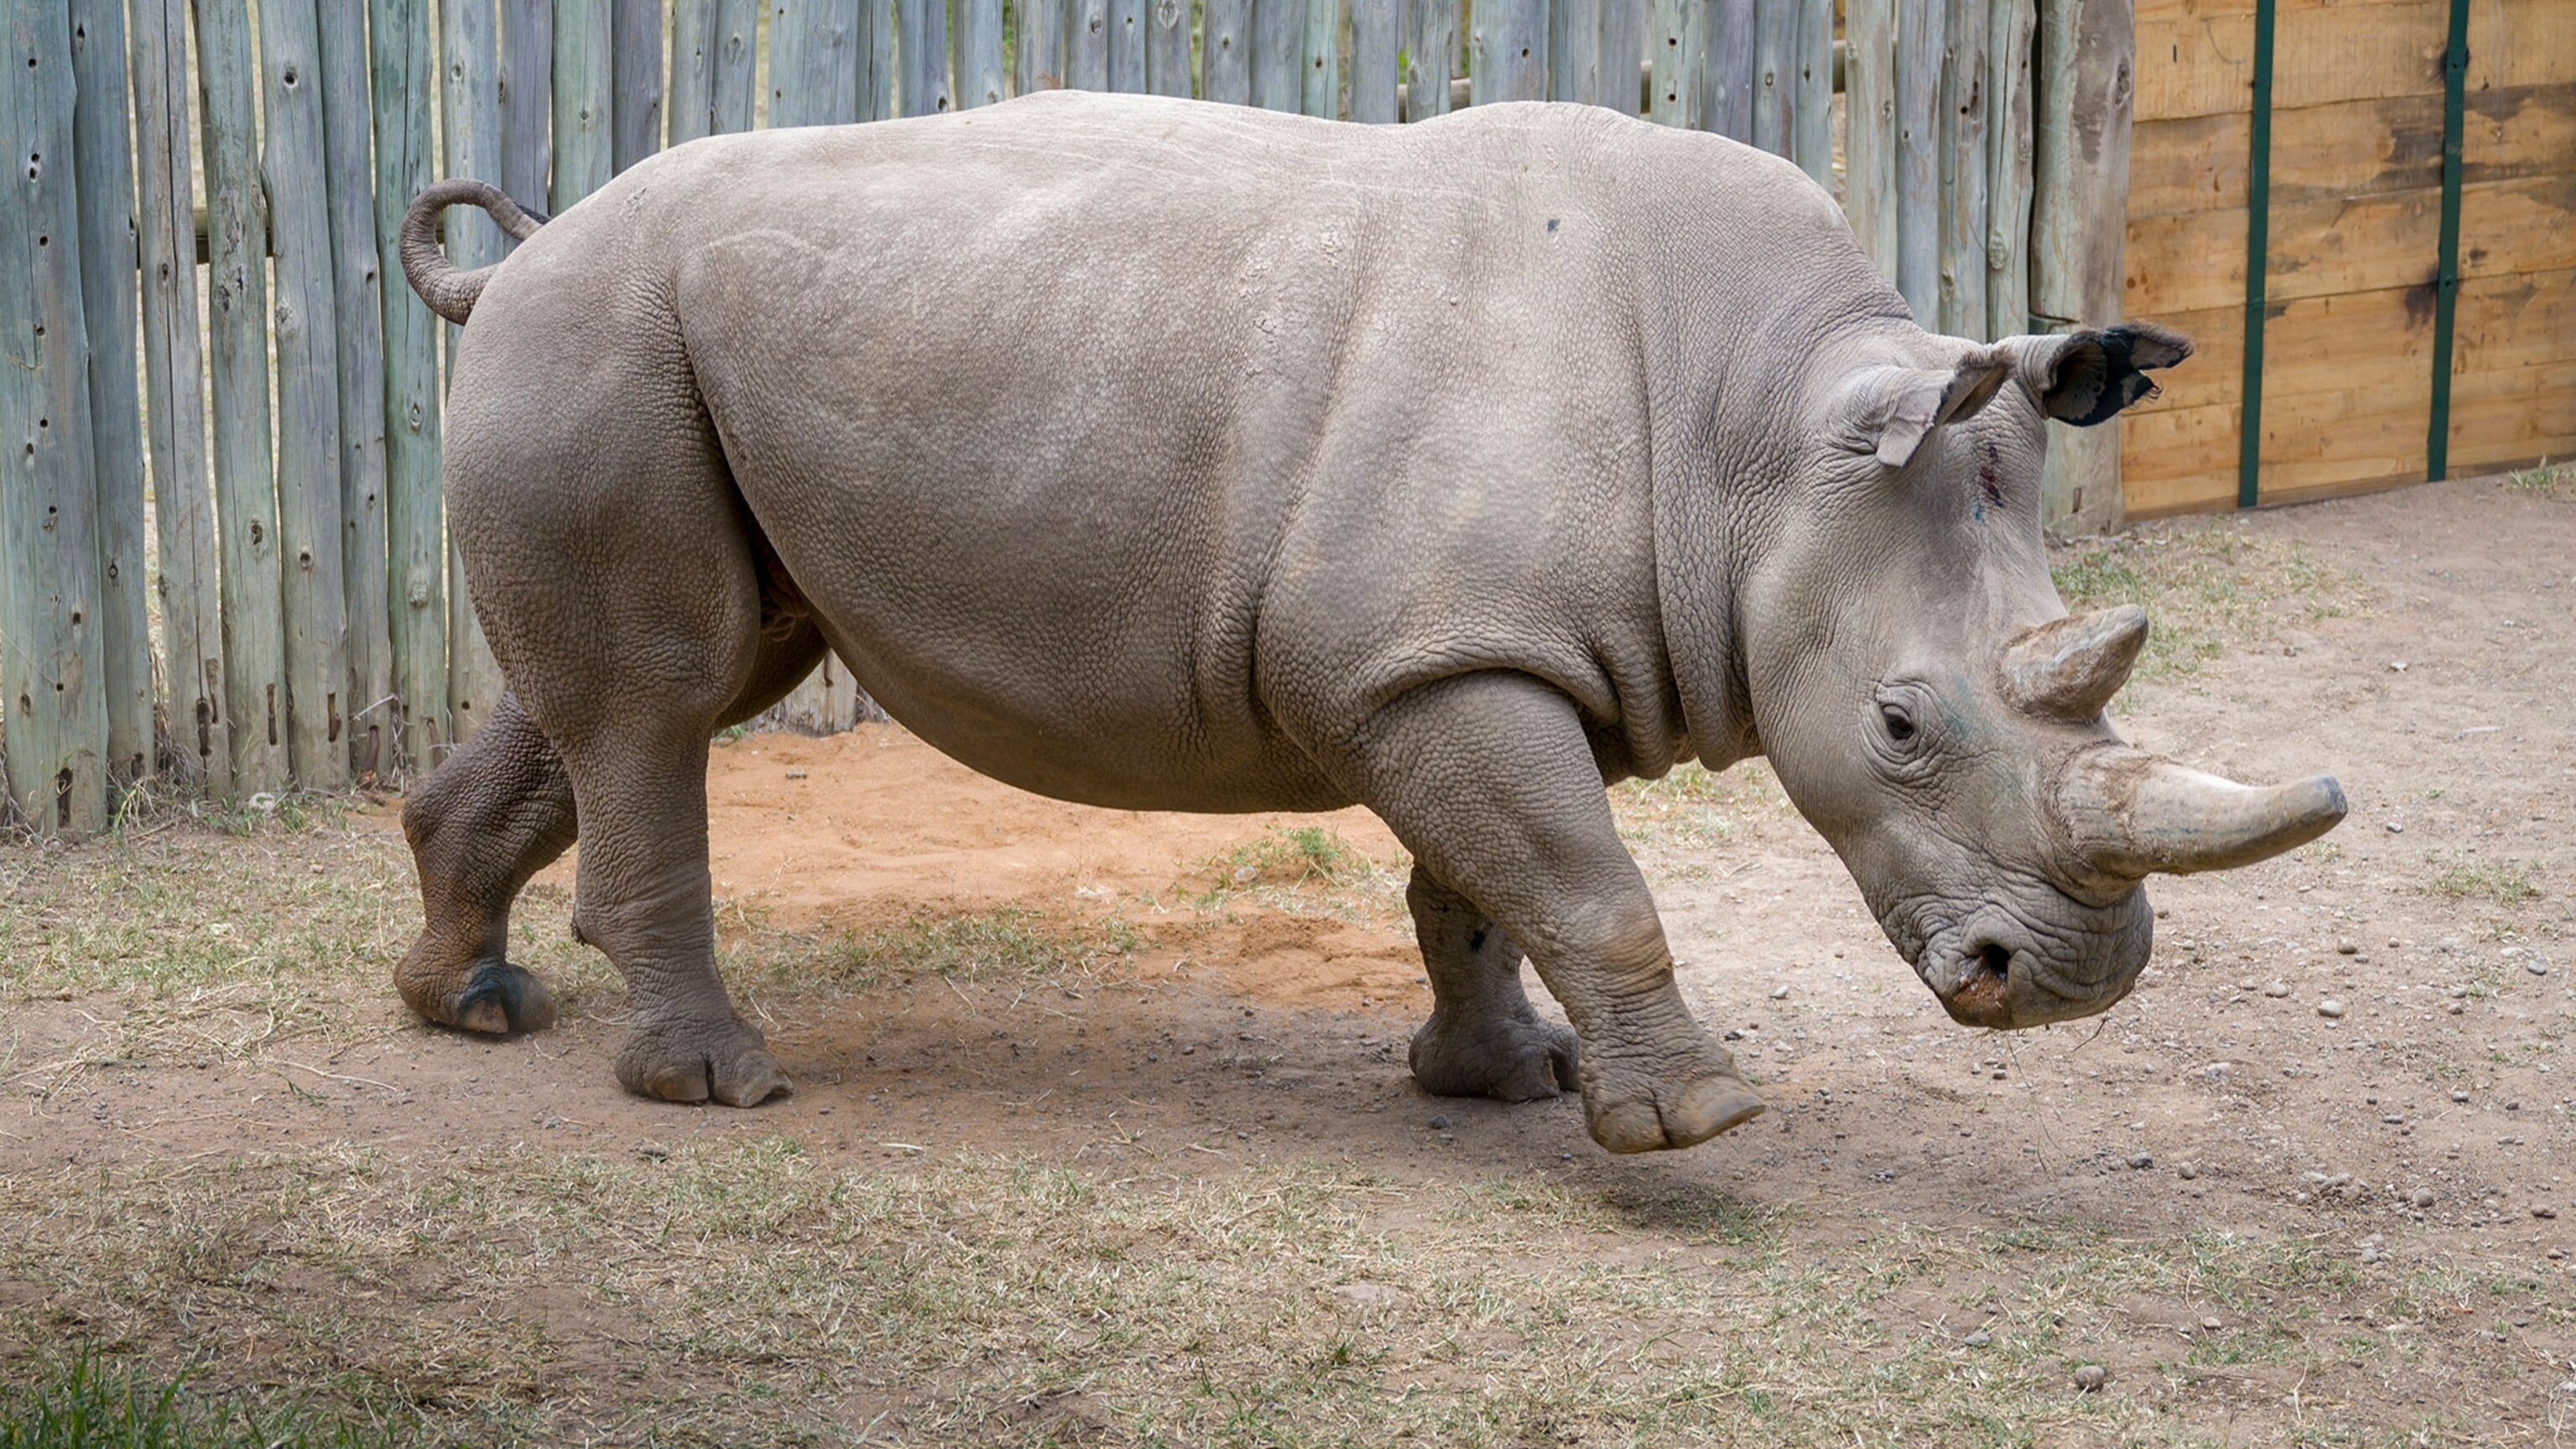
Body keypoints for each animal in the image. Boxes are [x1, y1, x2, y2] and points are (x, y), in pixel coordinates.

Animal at [396, 91, 2344, 1153]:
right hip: (608, 332)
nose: (2070, 988)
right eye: (1901, 727)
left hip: (671, 350)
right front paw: (1695, 1123)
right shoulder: (1424, 657)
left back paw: (468, 1005)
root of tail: (516, 254)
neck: (1761, 434)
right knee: (659, 700)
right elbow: (1583, 884)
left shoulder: (1465, 644)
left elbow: (1481, 888)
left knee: (659, 686)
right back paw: (718, 1085)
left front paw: (1507, 1082)